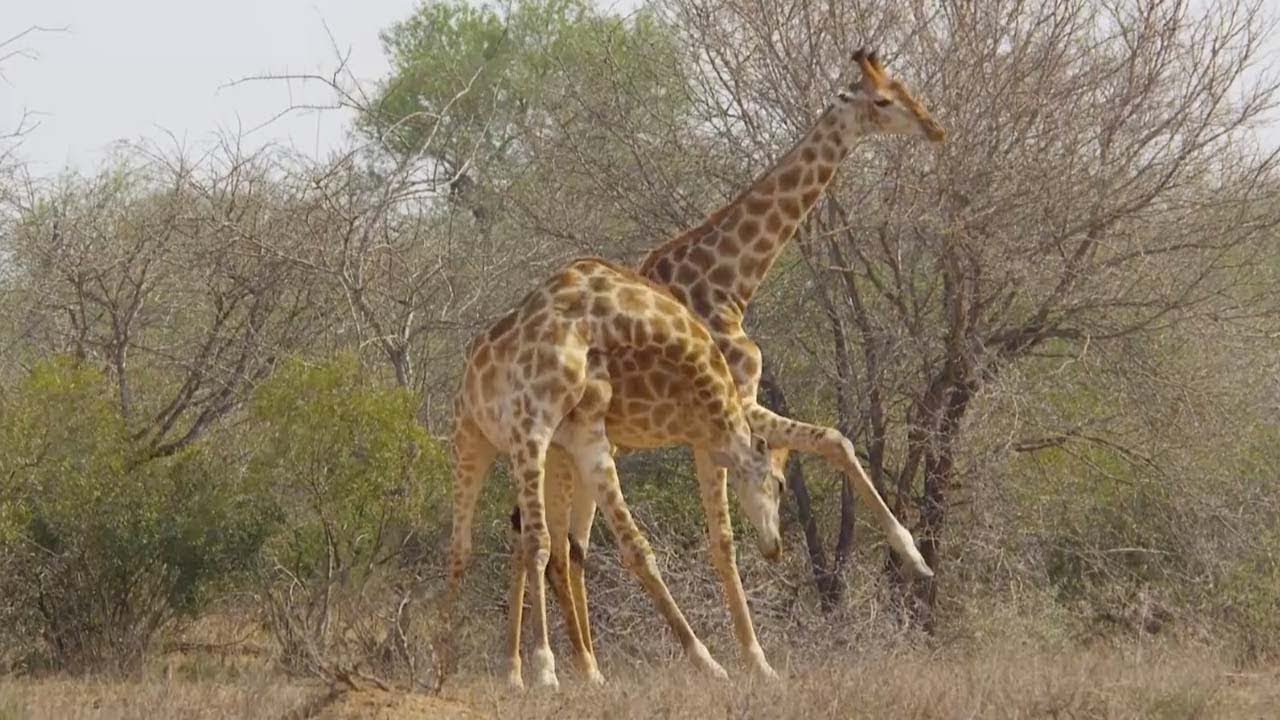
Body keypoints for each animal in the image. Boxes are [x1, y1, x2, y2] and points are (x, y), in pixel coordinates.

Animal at [445, 257, 781, 690]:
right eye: (780, 484)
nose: (776, 546)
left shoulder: (588, 439)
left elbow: (635, 547)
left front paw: (708, 661)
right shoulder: (530, 427)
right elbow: (540, 544)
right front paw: (546, 668)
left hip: (539, 454)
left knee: (540, 545)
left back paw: (544, 671)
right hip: (471, 438)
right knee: (468, 546)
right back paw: (447, 660)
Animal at [510, 47, 947, 681]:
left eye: (904, 87)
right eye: (883, 100)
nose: (935, 128)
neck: (729, 284)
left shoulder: (746, 404)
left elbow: (834, 439)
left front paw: (915, 559)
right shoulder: (727, 411)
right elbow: (725, 539)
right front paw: (755, 660)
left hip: (578, 451)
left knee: (558, 544)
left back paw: (563, 669)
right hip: (566, 450)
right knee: (548, 543)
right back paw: (551, 669)